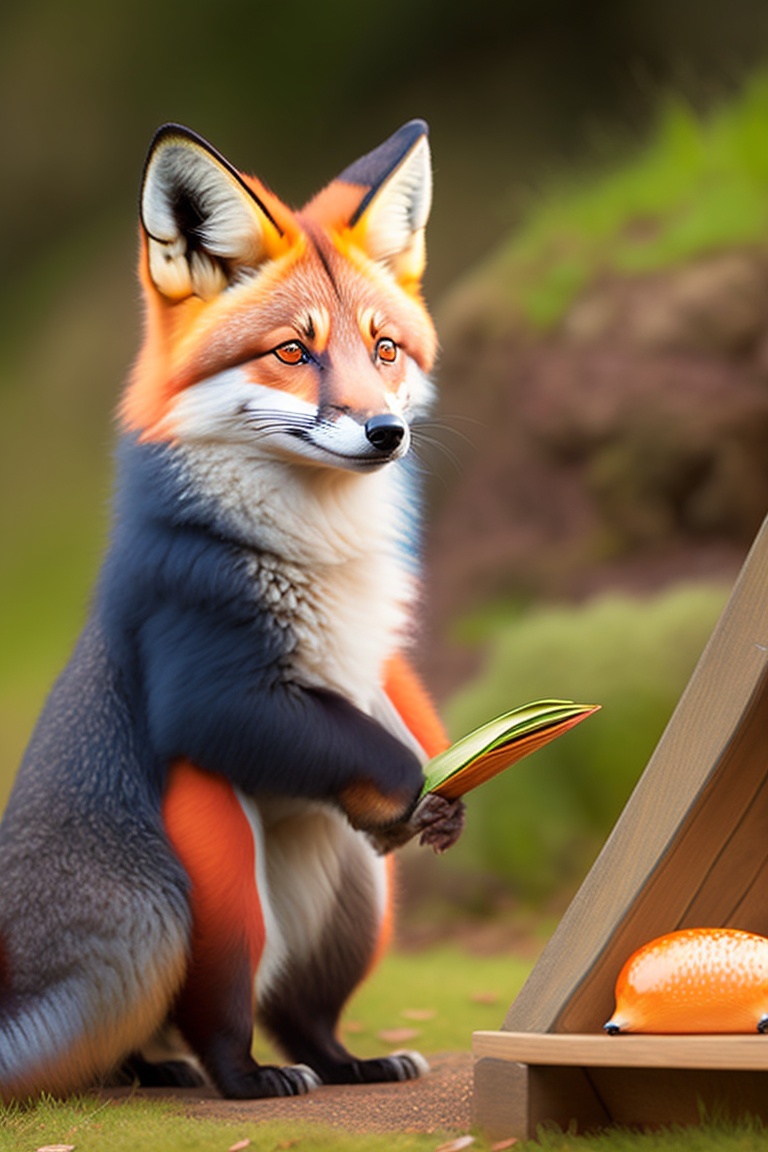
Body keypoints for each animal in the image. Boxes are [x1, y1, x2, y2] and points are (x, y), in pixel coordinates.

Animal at [0, 119, 465, 1101]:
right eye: (292, 352)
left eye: (386, 350)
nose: (386, 433)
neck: (325, 559)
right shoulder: (204, 684)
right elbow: (384, 756)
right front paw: (422, 785)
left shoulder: (377, 661)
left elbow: (407, 721)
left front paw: (450, 784)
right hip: (205, 893)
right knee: (217, 1029)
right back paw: (237, 1078)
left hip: (359, 898)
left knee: (303, 1017)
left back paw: (343, 1063)